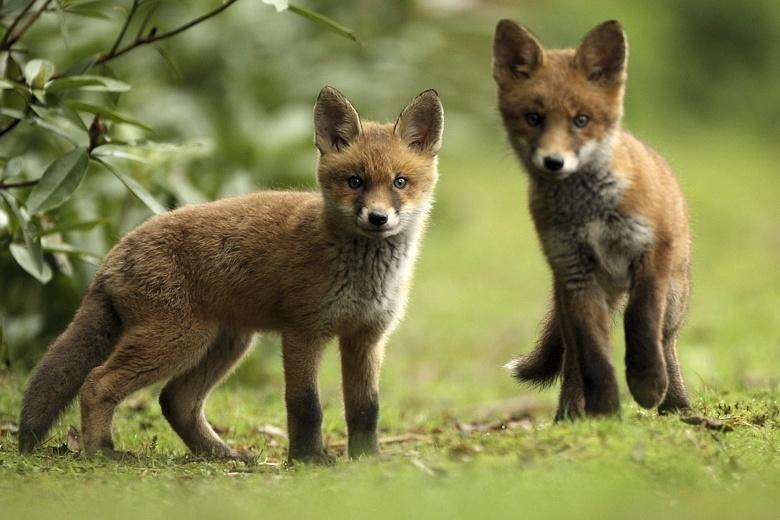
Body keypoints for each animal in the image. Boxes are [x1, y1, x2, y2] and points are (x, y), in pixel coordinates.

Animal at [18, 86, 444, 462]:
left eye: (400, 182)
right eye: (355, 181)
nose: (378, 218)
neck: (363, 276)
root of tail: (113, 253)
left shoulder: (366, 337)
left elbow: (366, 409)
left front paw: (367, 460)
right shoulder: (303, 331)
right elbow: (306, 405)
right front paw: (308, 460)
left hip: (225, 343)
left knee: (176, 401)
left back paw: (220, 454)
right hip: (176, 339)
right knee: (97, 382)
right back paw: (102, 452)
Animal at [493, 20, 692, 420]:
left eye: (581, 120)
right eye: (533, 118)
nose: (553, 162)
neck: (590, 211)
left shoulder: (650, 254)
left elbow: (640, 320)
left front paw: (646, 383)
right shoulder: (577, 273)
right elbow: (594, 355)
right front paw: (605, 410)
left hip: (675, 295)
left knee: (666, 342)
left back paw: (676, 404)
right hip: (572, 300)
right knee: (572, 361)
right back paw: (569, 415)